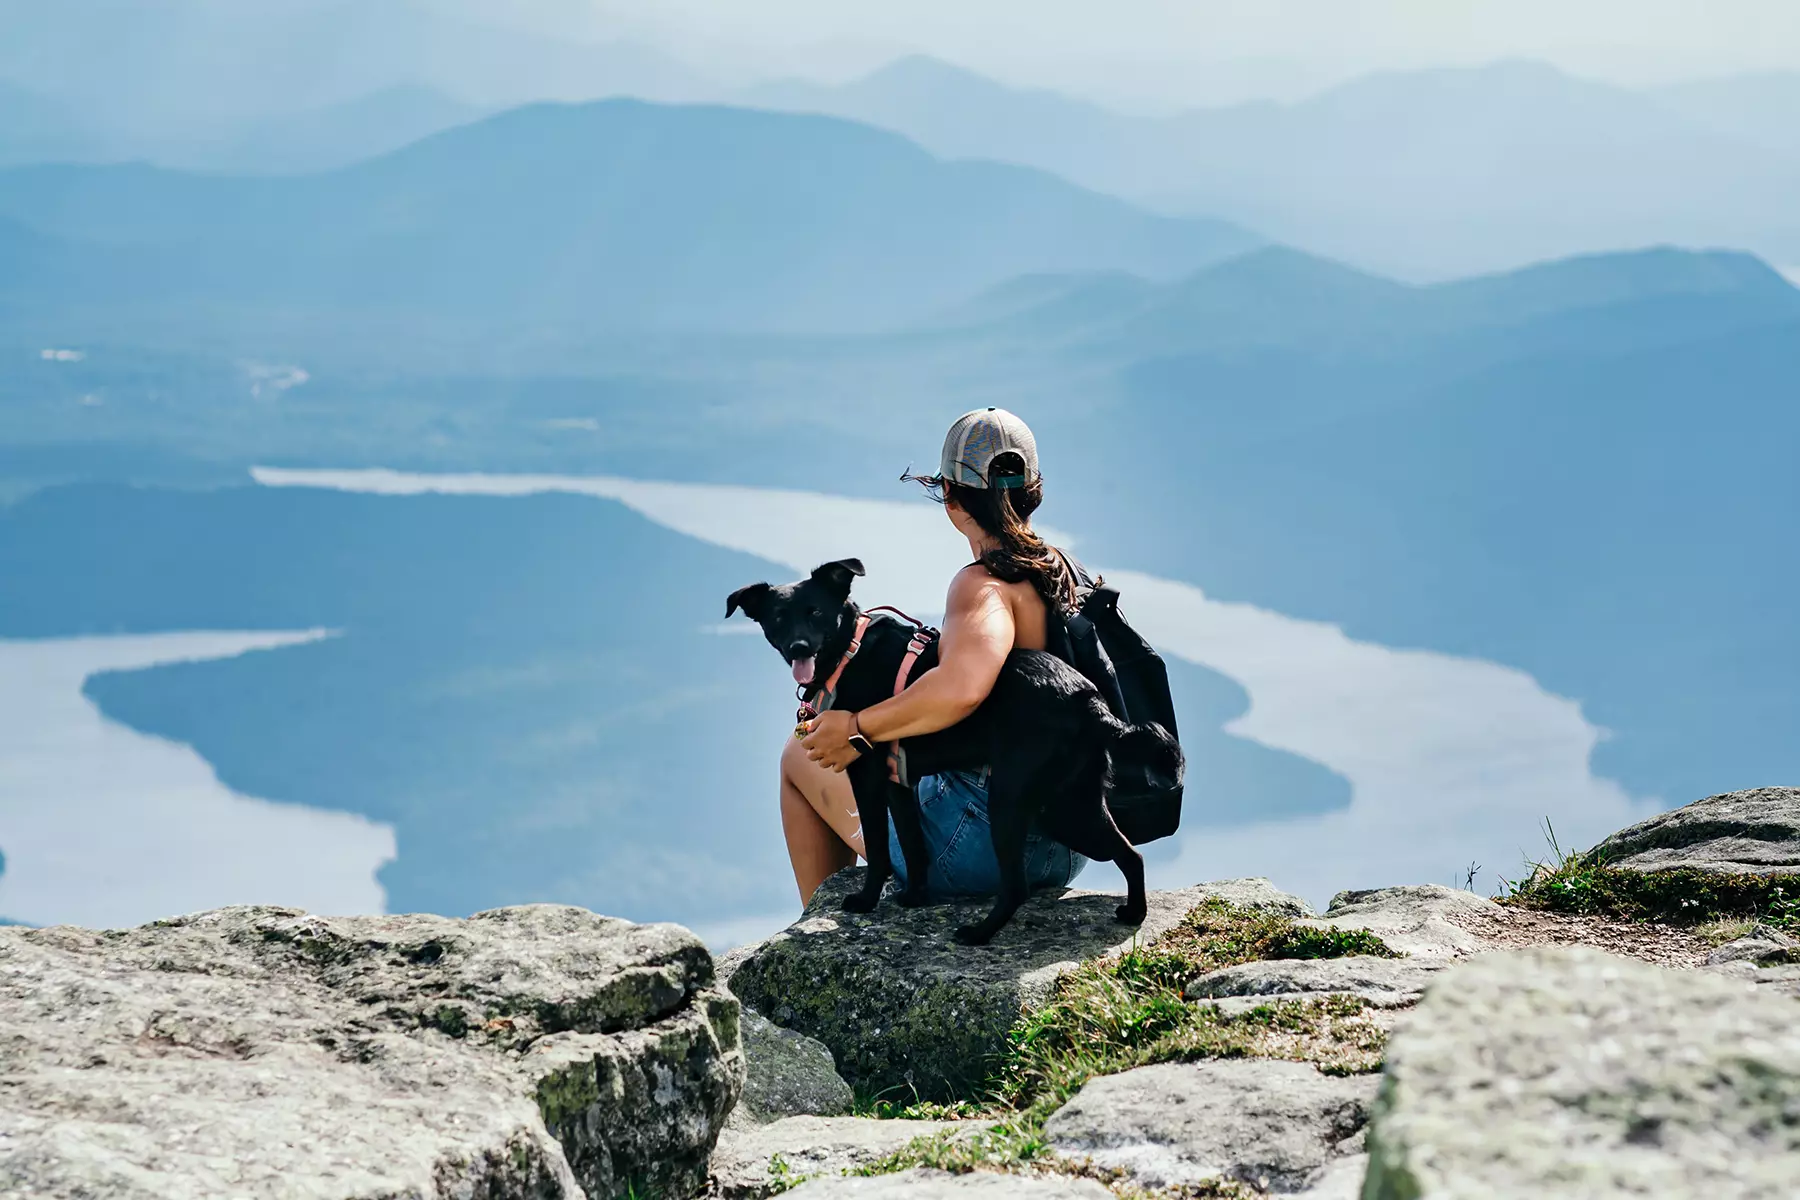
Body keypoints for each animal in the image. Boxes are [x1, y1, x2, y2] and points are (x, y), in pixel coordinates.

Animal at [723, 557, 1173, 942]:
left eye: (816, 612)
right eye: (778, 618)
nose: (799, 648)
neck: (849, 651)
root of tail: (1091, 703)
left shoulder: (866, 777)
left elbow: (880, 848)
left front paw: (866, 902)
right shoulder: (898, 781)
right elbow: (912, 844)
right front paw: (915, 898)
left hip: (1013, 800)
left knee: (1018, 886)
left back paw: (978, 934)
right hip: (1075, 802)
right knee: (1131, 855)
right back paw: (1133, 914)